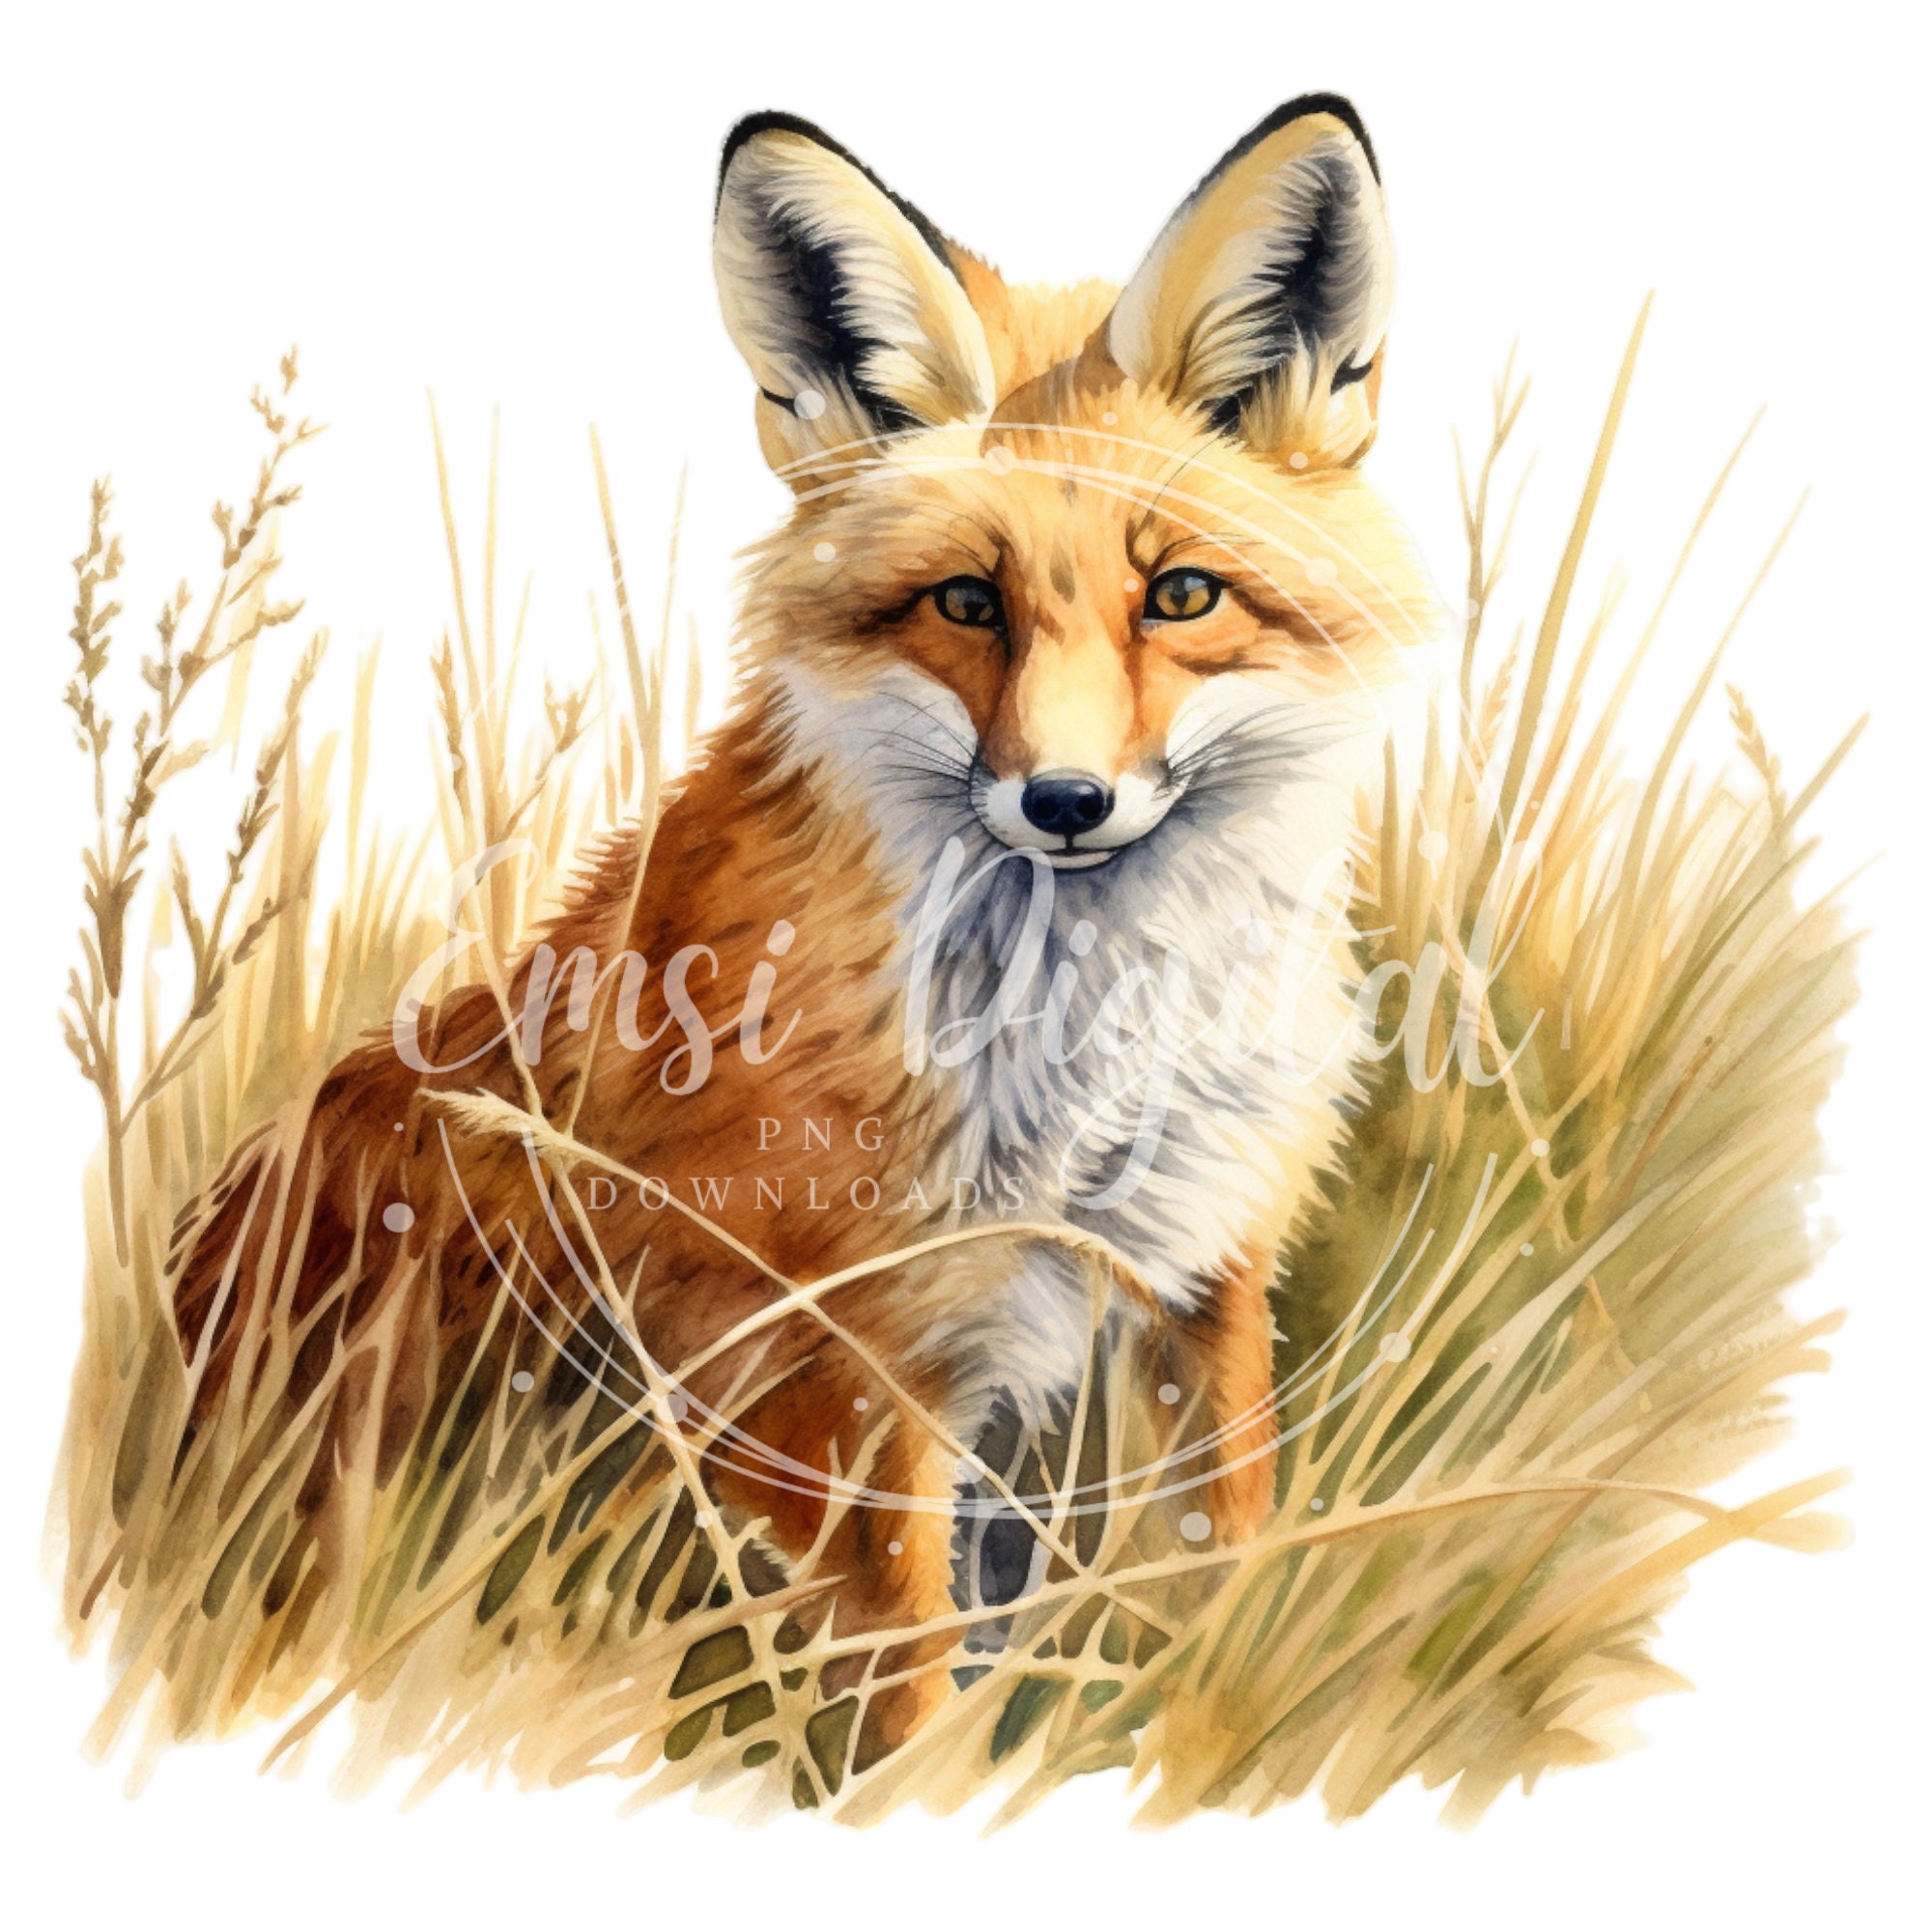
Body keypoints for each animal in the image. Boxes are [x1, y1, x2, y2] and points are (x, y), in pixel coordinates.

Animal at [169, 95, 1440, 1768]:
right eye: (966, 603)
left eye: (1180, 596)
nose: (1066, 800)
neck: (1085, 1061)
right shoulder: (831, 1352)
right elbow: (911, 1671)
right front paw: (937, 1791)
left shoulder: (1195, 1276)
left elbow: (1208, 1566)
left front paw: (1201, 1722)